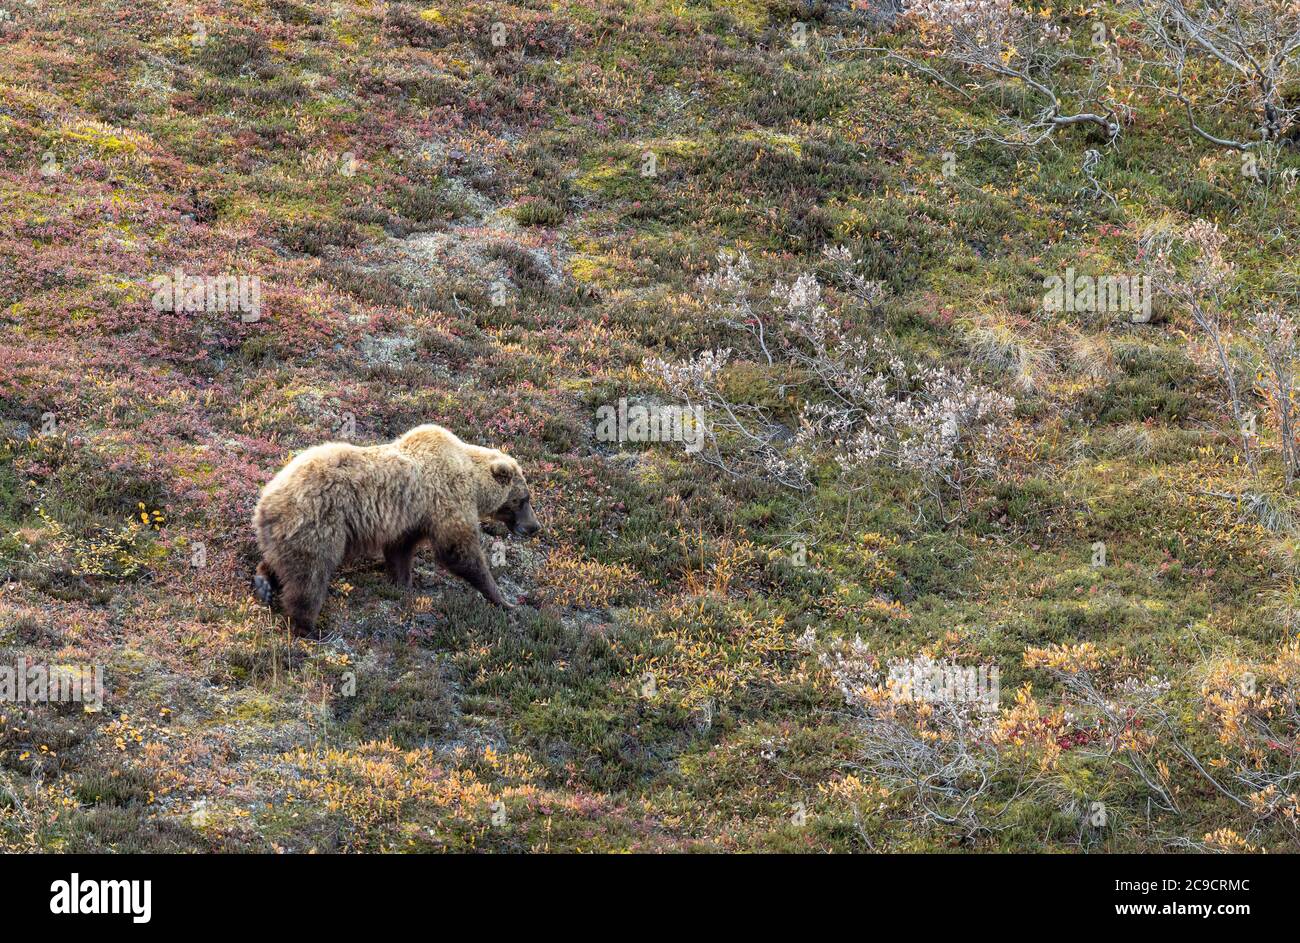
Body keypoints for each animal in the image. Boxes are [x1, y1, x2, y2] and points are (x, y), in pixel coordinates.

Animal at [251, 423, 541, 636]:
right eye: (523, 499)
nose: (534, 527)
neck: (473, 481)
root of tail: (267, 497)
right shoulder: (447, 499)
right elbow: (458, 550)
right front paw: (503, 600)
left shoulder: (412, 518)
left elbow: (400, 550)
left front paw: (403, 583)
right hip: (317, 522)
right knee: (309, 575)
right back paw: (306, 626)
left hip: (284, 530)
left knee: (282, 561)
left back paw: (264, 583)